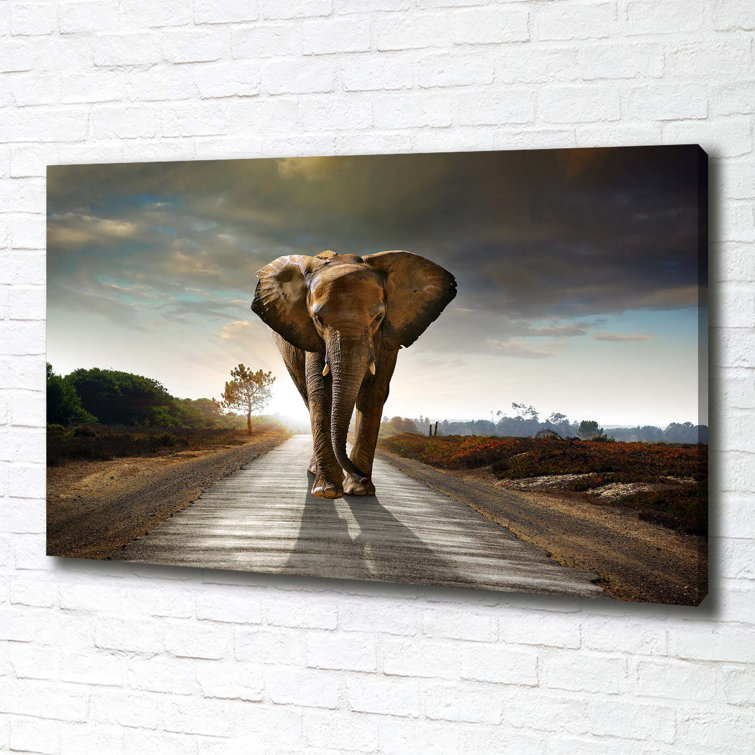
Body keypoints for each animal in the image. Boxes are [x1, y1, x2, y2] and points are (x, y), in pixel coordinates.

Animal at [251, 249, 456, 499]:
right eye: (318, 319)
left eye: (378, 318)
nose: (361, 475)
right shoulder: (312, 336)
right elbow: (321, 392)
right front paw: (328, 491)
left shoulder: (388, 338)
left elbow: (373, 394)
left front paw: (359, 490)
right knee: (307, 396)